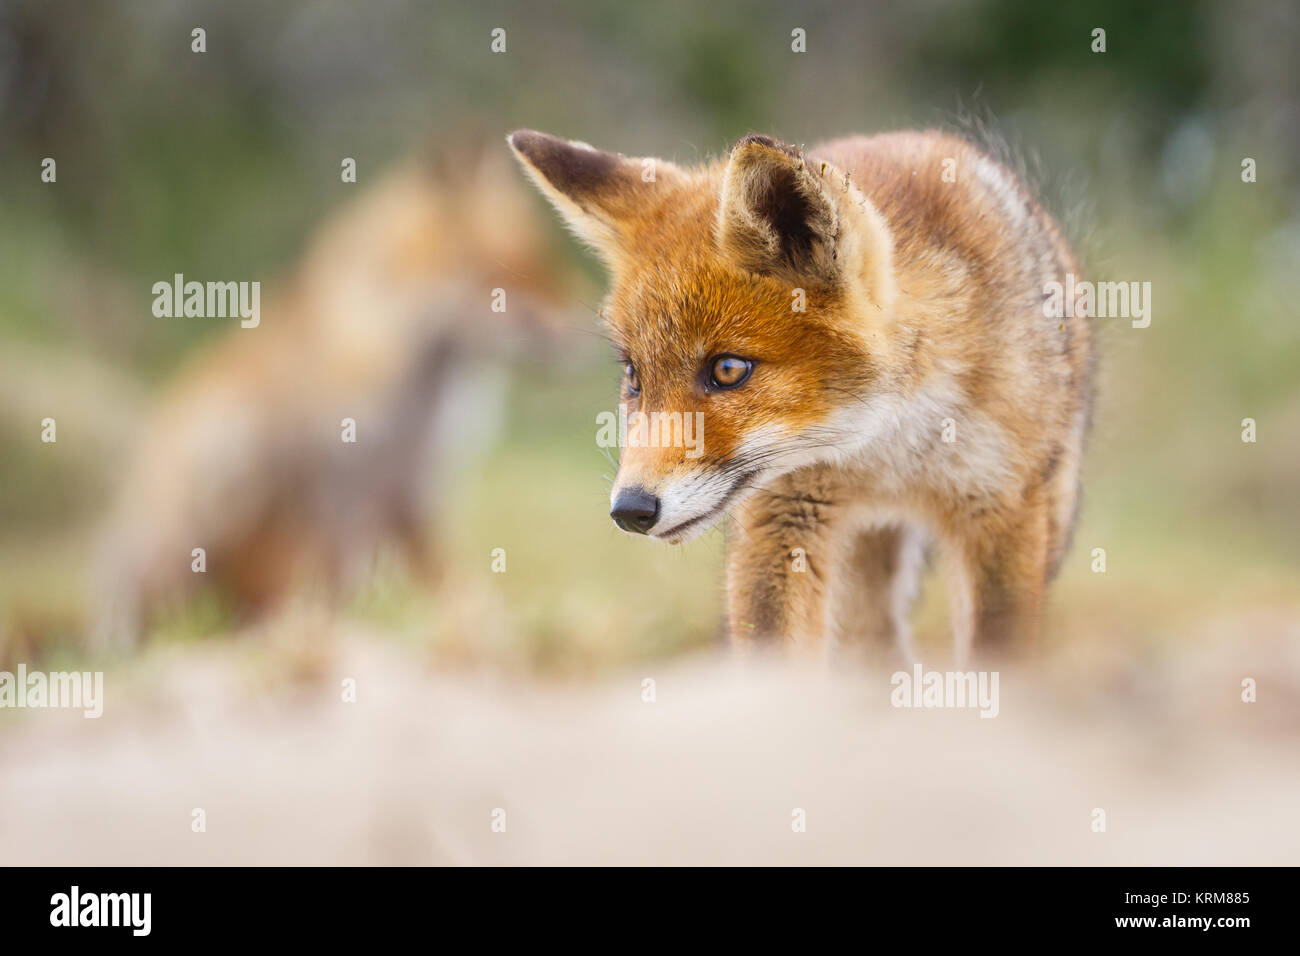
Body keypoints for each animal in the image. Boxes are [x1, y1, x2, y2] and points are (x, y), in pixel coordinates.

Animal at [94, 141, 577, 646]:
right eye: (515, 265)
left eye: (545, 256)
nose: (579, 325)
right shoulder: (332, 486)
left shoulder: (413, 487)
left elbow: (446, 577)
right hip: (222, 462)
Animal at [509, 128, 1094, 659]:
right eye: (634, 376)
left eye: (727, 369)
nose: (630, 509)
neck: (884, 450)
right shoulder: (780, 521)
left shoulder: (1001, 513)